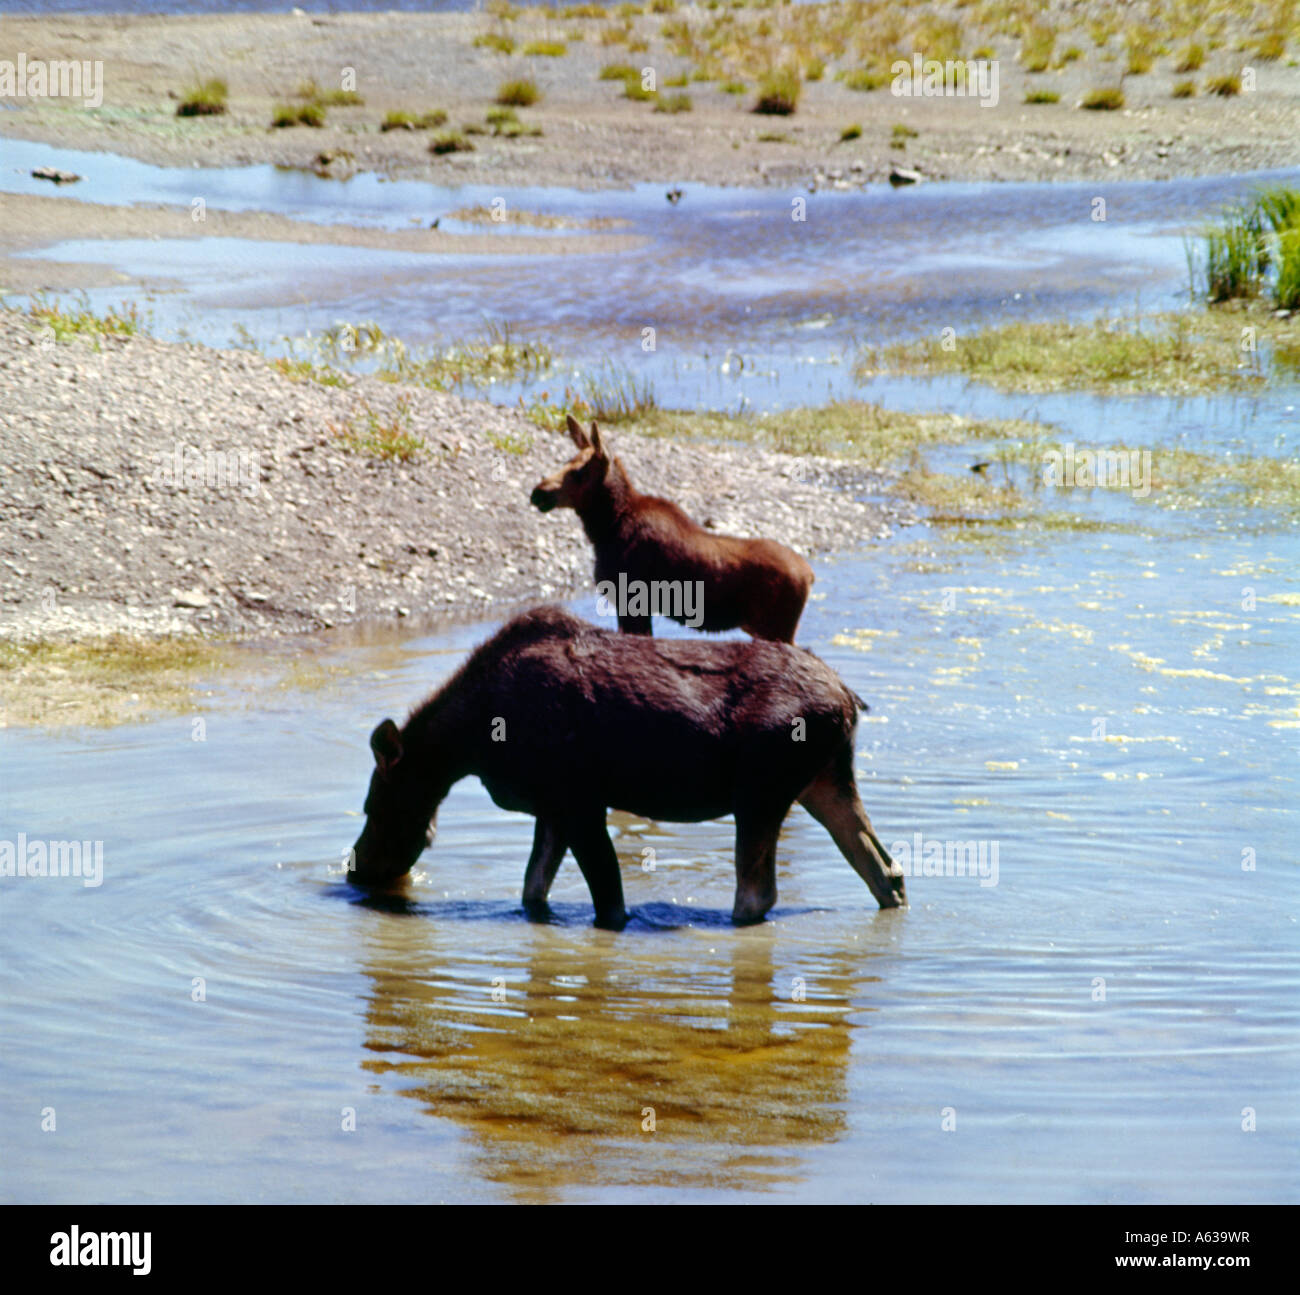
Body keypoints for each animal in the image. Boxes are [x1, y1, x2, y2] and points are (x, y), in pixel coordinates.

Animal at [348, 606, 907, 929]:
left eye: (374, 805)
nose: (357, 867)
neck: (467, 744)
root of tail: (848, 699)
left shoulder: (579, 802)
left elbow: (609, 901)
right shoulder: (553, 807)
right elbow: (532, 891)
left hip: (761, 791)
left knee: (757, 893)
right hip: (826, 779)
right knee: (886, 870)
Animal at [529, 416, 815, 642]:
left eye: (578, 472)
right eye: (566, 461)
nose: (537, 493)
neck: (606, 527)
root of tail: (810, 575)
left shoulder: (631, 600)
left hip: (776, 629)